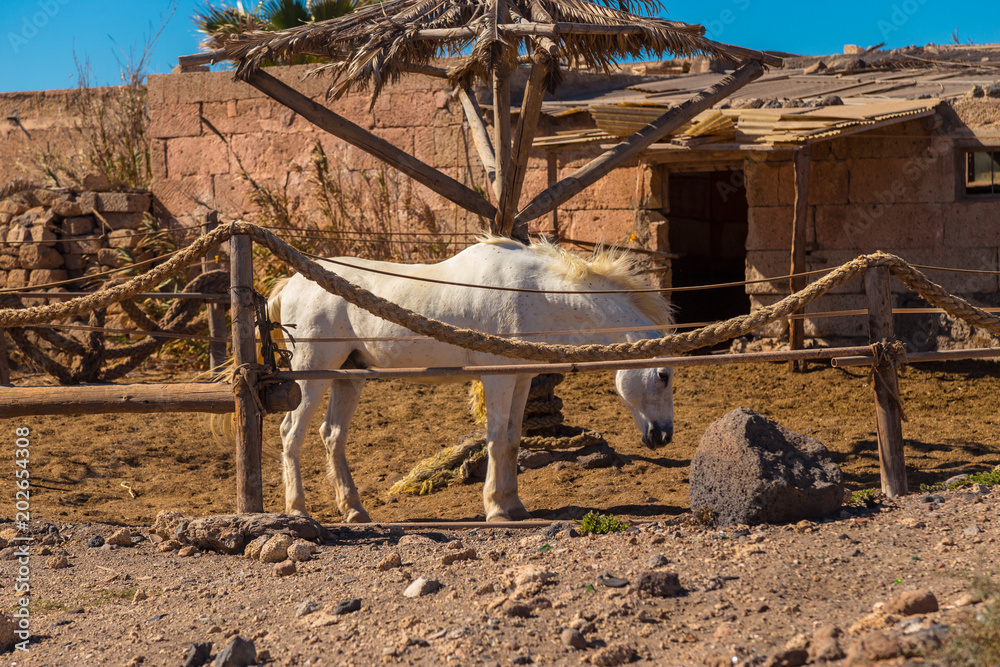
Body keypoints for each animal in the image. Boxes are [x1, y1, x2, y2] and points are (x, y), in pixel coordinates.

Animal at [269, 236, 675, 523]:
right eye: (664, 374)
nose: (663, 436)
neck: (532, 293)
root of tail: (292, 284)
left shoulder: (520, 379)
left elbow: (511, 439)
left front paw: (515, 505)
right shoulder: (497, 379)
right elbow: (495, 441)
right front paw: (495, 509)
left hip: (349, 376)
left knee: (332, 436)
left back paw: (355, 511)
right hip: (312, 372)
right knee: (292, 433)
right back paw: (298, 510)